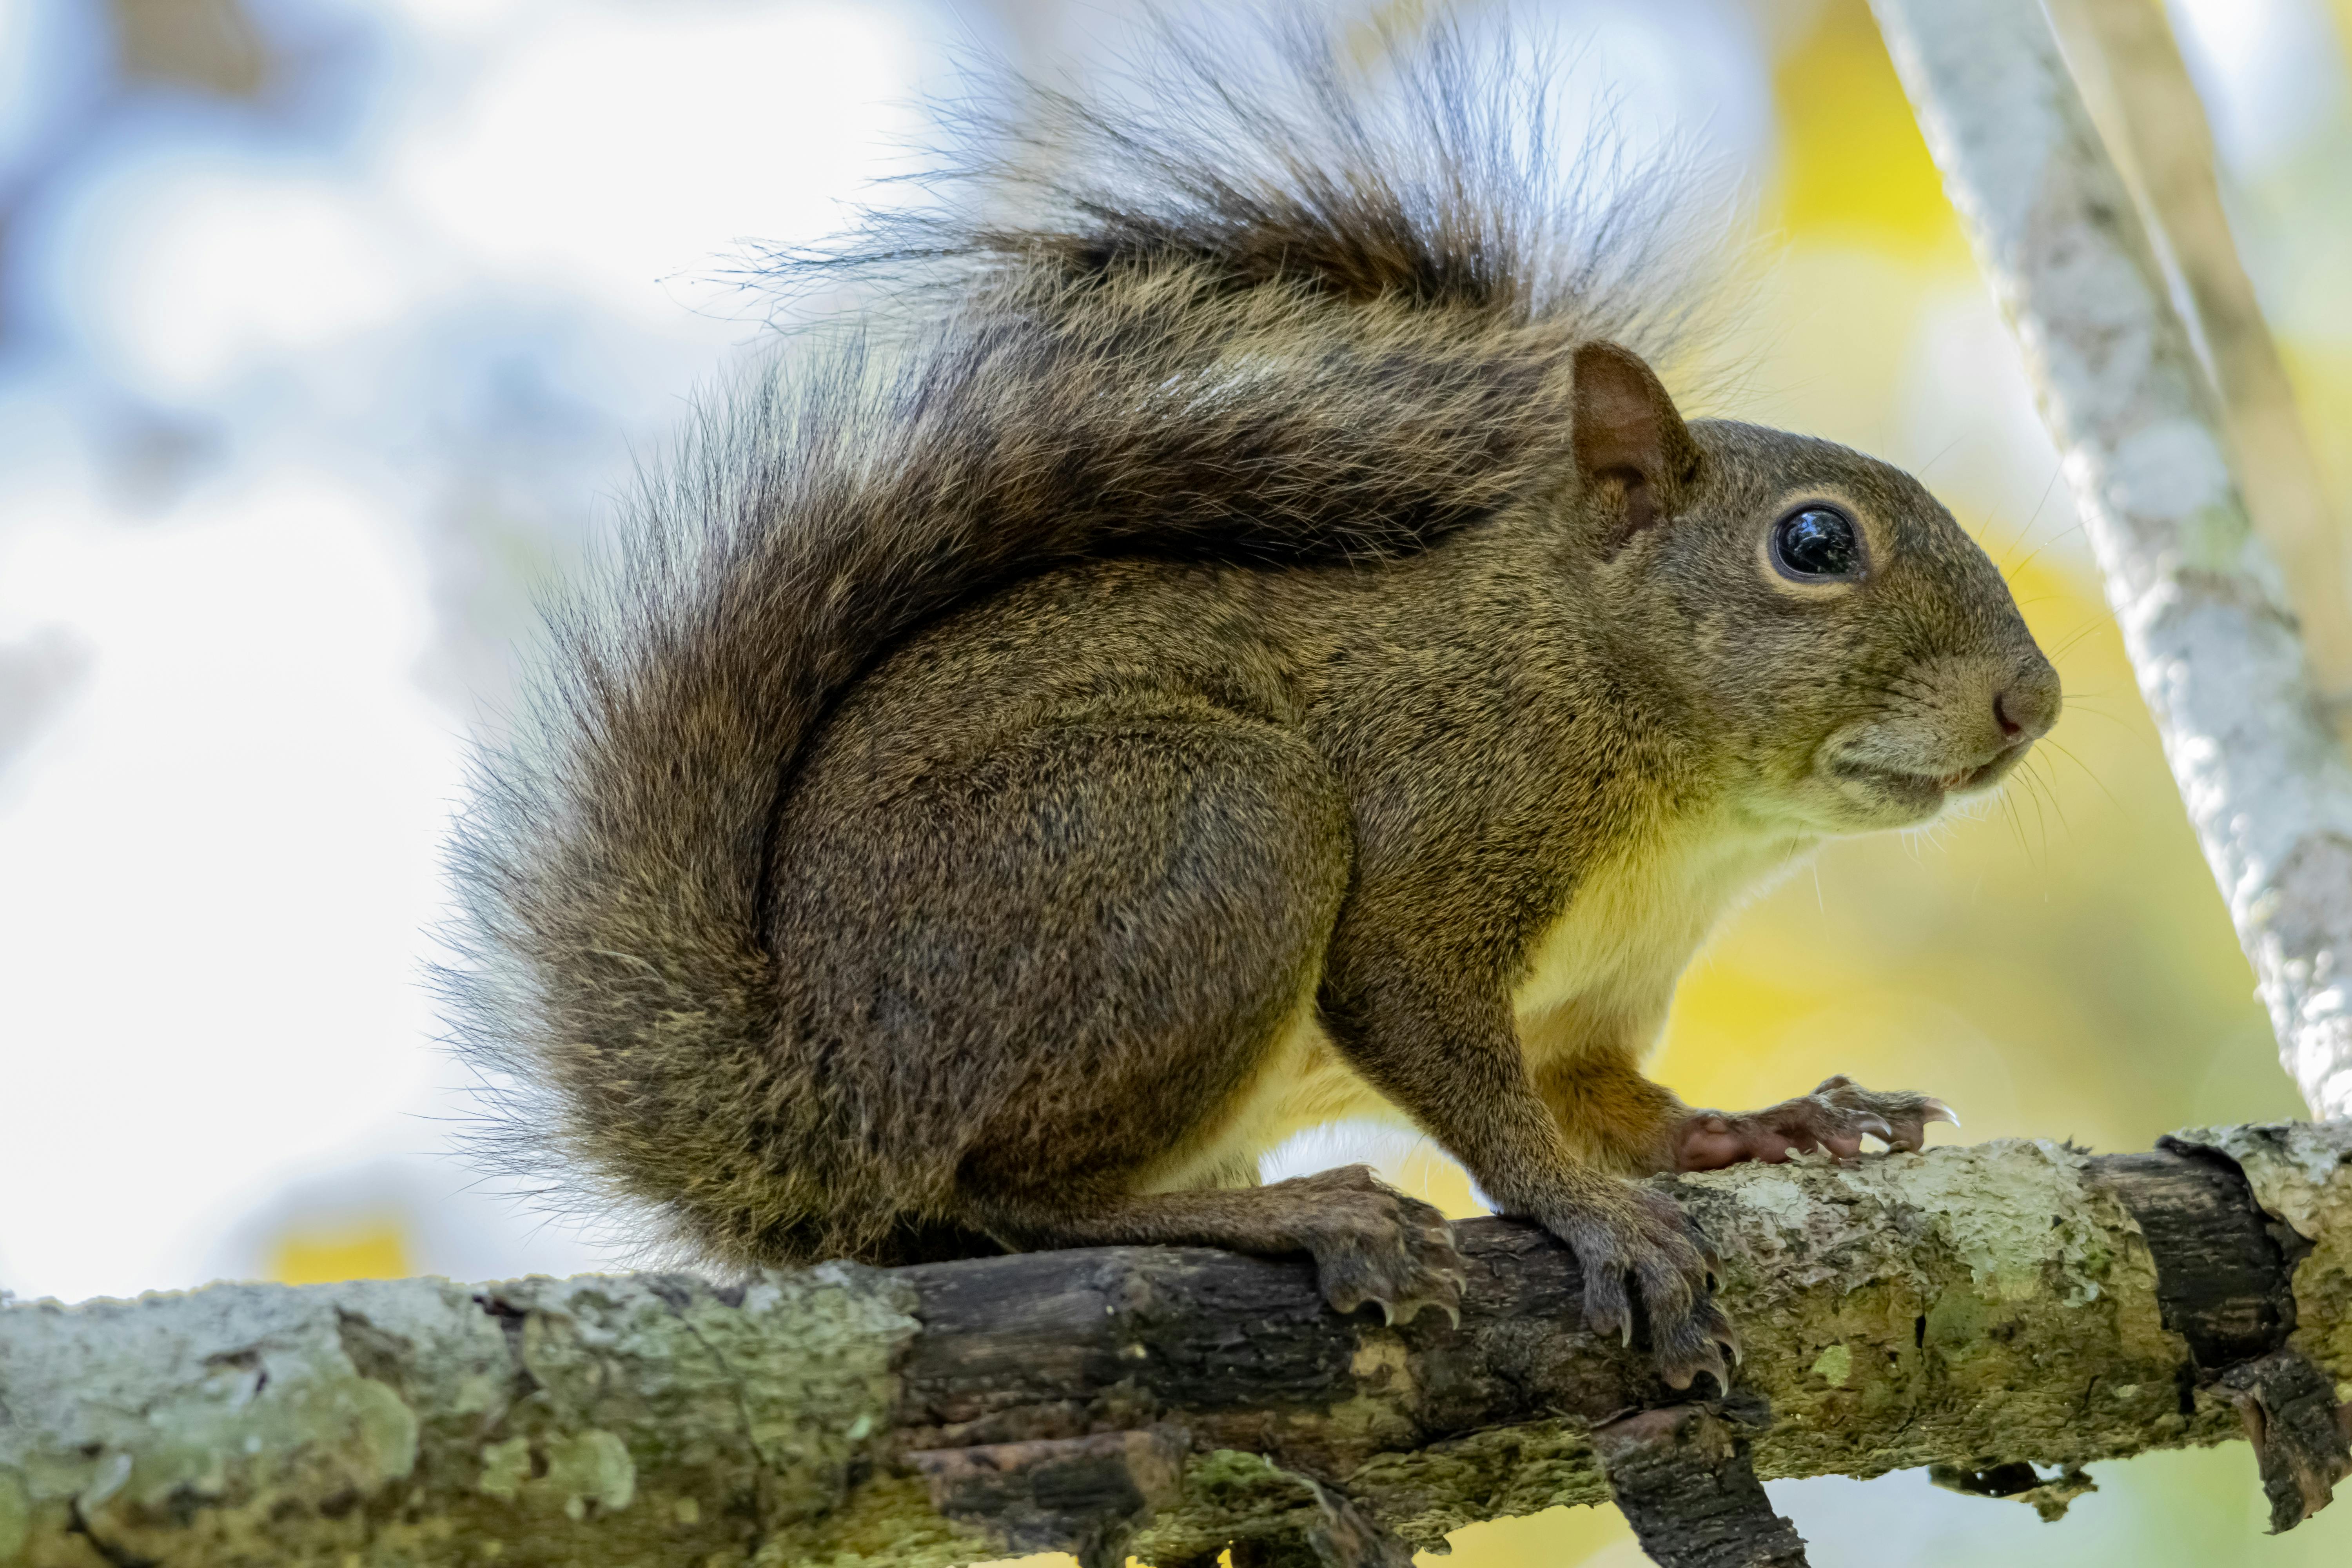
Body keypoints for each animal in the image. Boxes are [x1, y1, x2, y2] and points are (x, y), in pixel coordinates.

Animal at [443, 16, 2059, 1392]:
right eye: (1813, 545)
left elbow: (1615, 1101)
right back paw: (1298, 1218)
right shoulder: (1441, 822)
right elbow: (1444, 1050)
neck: (1680, 807)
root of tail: (823, 1089)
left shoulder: (1591, 1013)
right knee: (994, 1193)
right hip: (1220, 822)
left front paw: (1778, 1122)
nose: (2031, 701)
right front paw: (1593, 1217)